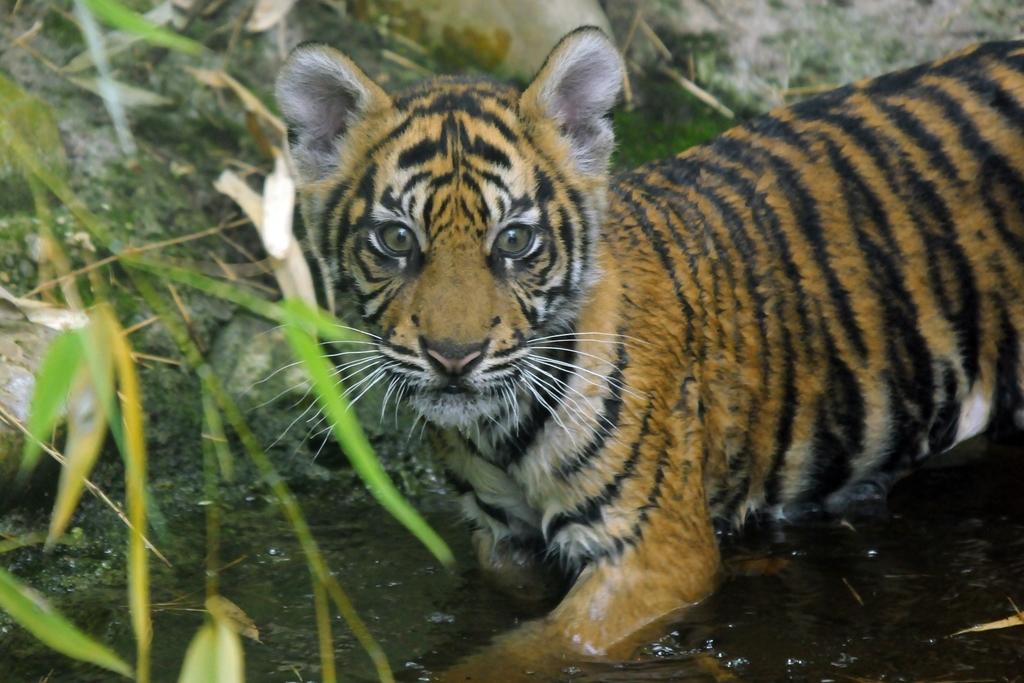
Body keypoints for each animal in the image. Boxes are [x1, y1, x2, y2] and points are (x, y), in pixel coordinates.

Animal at [275, 28, 1024, 677]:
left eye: (515, 240)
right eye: (396, 240)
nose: (453, 357)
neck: (502, 433)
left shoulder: (654, 556)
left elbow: (516, 653)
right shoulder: (506, 544)